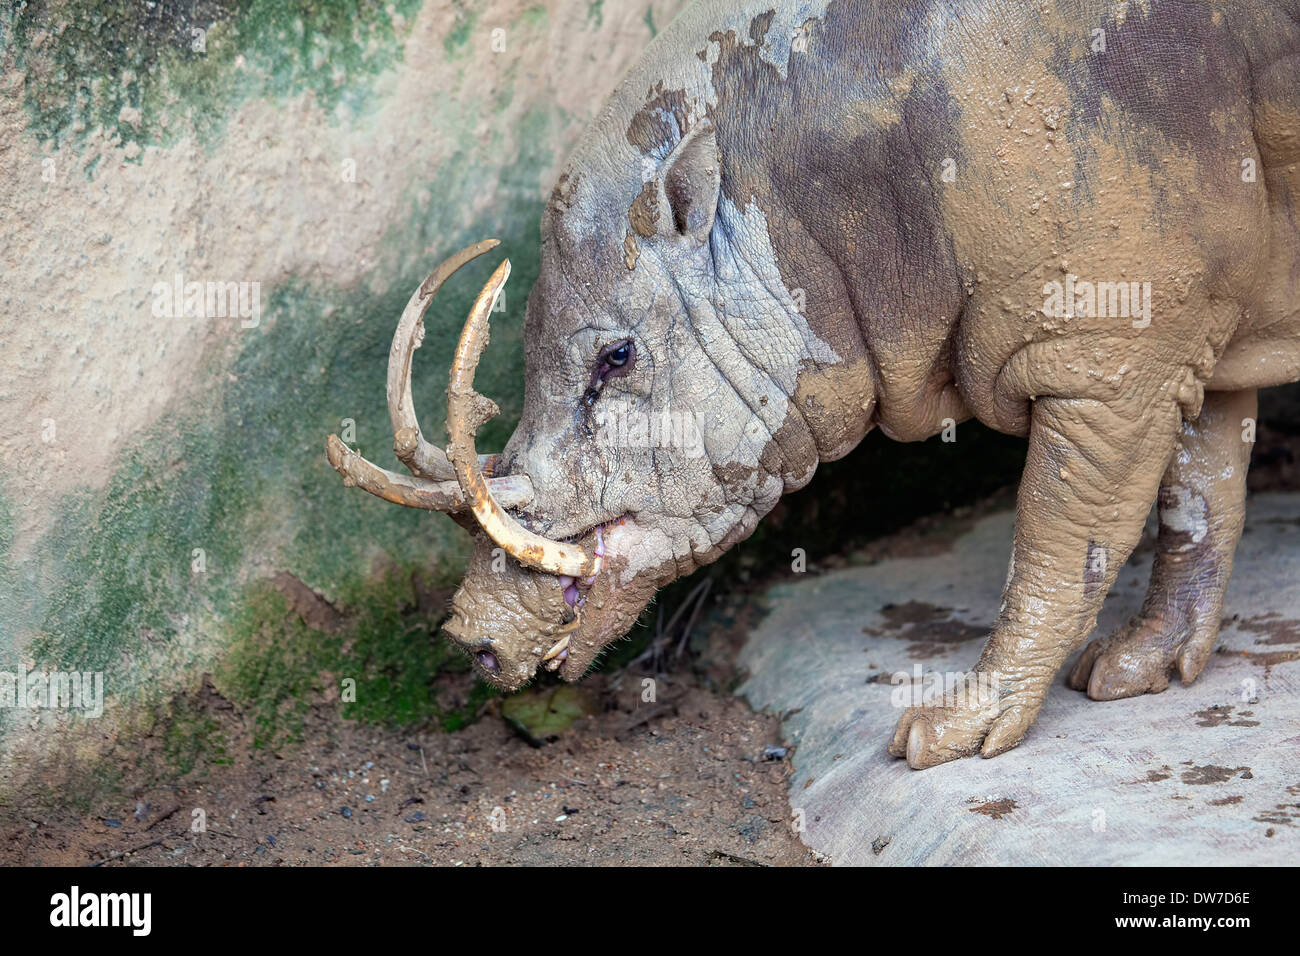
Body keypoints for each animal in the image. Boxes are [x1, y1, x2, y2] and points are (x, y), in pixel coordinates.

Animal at [328, 0, 1300, 769]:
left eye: (617, 359)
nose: (472, 638)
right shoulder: (1188, 321)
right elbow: (1201, 484)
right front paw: (1138, 673)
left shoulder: (1109, 347)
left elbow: (1063, 537)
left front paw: (947, 737)